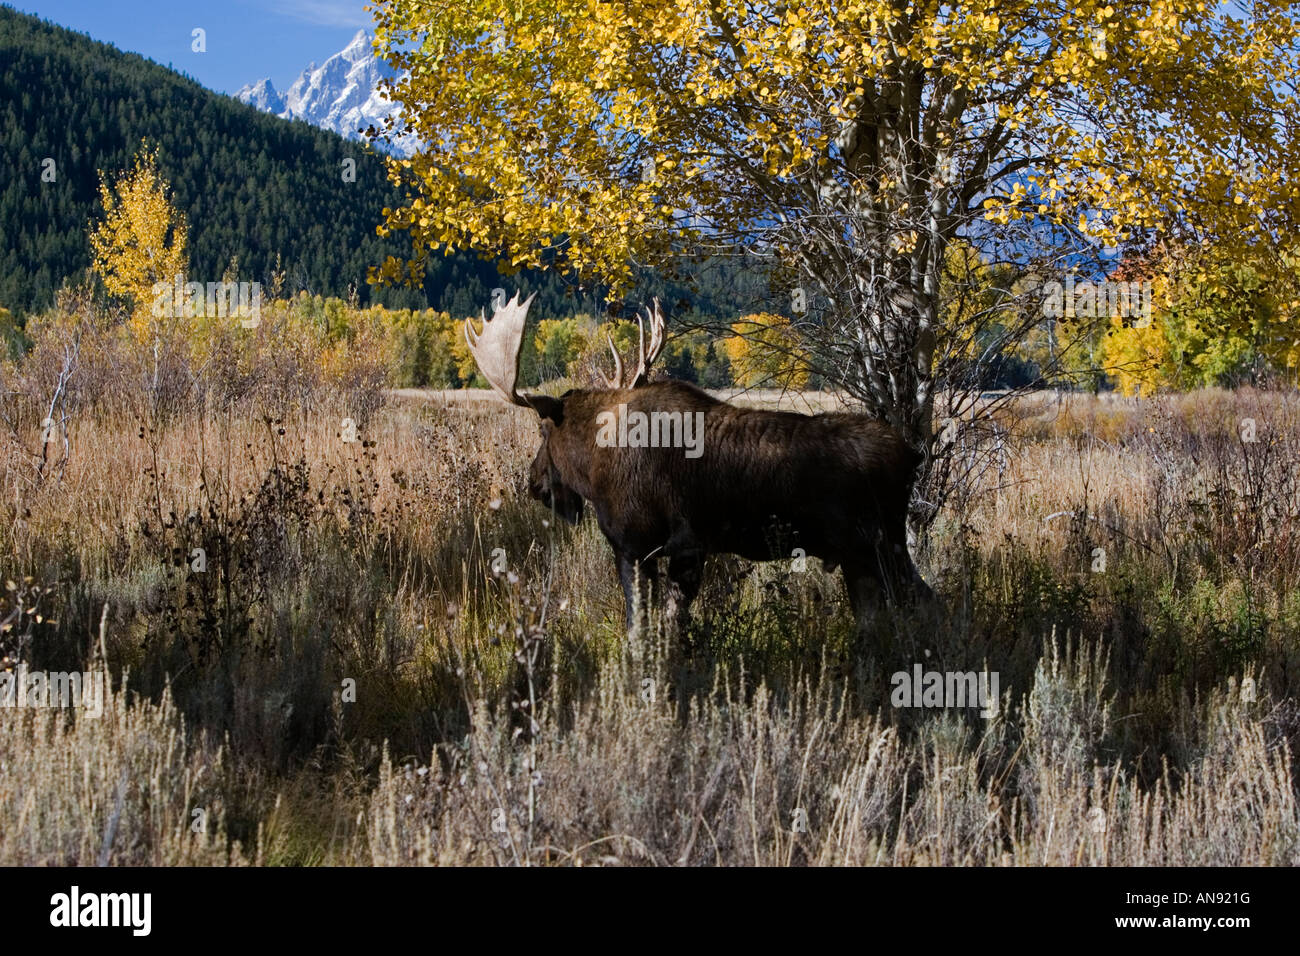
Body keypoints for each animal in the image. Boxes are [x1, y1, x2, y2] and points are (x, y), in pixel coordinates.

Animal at [464, 291, 935, 655]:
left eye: (542, 431)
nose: (533, 482)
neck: (594, 464)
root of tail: (911, 455)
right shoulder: (688, 551)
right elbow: (674, 622)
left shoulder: (633, 544)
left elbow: (639, 627)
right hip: (867, 554)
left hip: (876, 544)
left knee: (919, 603)